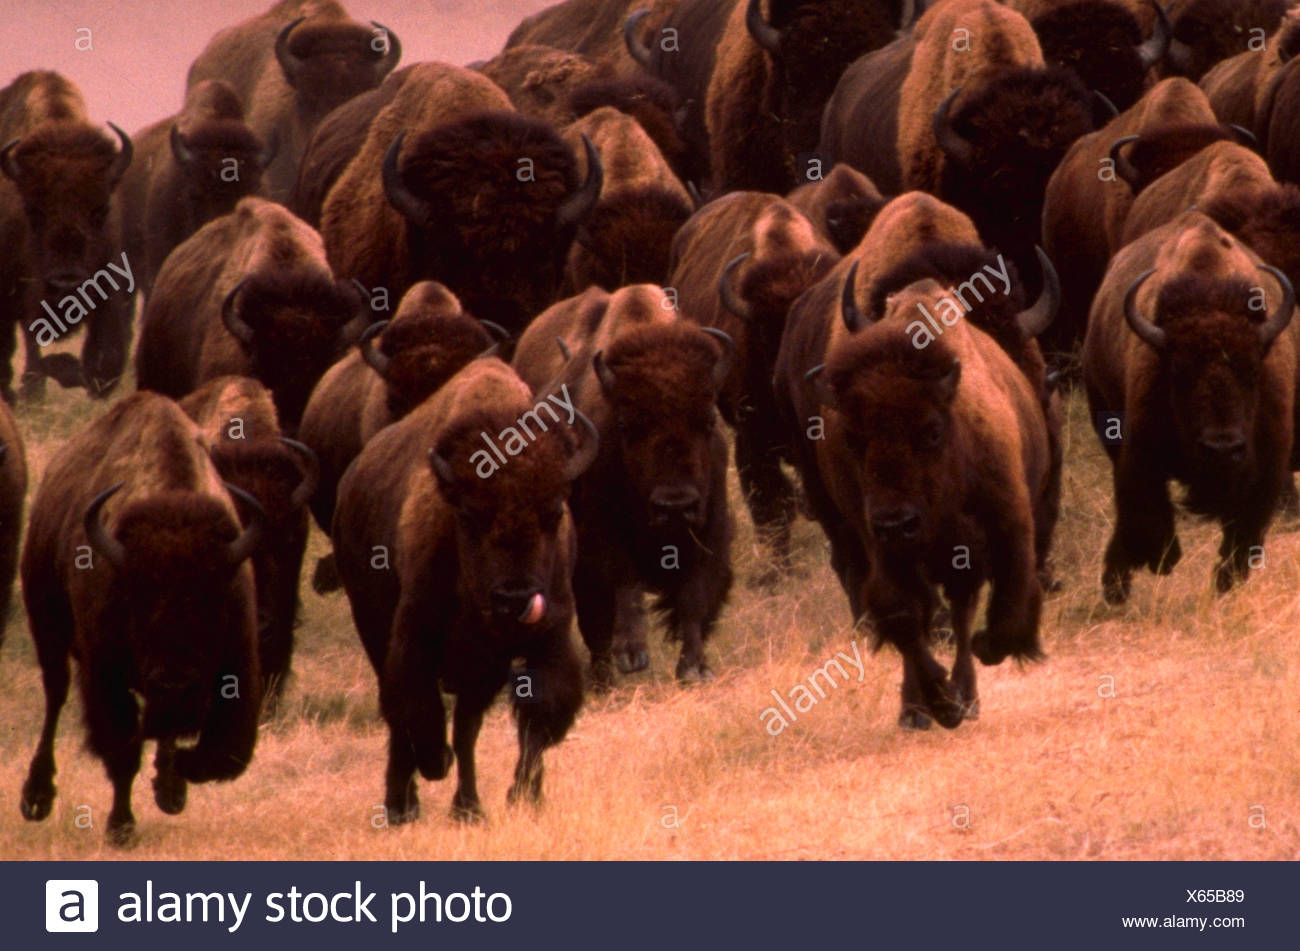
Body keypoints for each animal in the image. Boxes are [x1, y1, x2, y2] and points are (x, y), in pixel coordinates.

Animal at [19, 392, 263, 845]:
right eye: (137, 599)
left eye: (211, 600)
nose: (175, 684)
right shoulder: (105, 676)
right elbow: (122, 750)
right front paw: (122, 827)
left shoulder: (236, 666)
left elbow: (224, 755)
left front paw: (172, 782)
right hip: (47, 628)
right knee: (55, 696)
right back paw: (37, 797)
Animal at [333, 357, 596, 823]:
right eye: (470, 515)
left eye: (554, 512)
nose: (513, 599)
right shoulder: (413, 638)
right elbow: (418, 715)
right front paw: (434, 767)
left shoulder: (547, 639)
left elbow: (537, 716)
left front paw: (524, 796)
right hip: (373, 628)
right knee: (403, 720)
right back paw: (402, 806)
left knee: (465, 728)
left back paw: (467, 808)